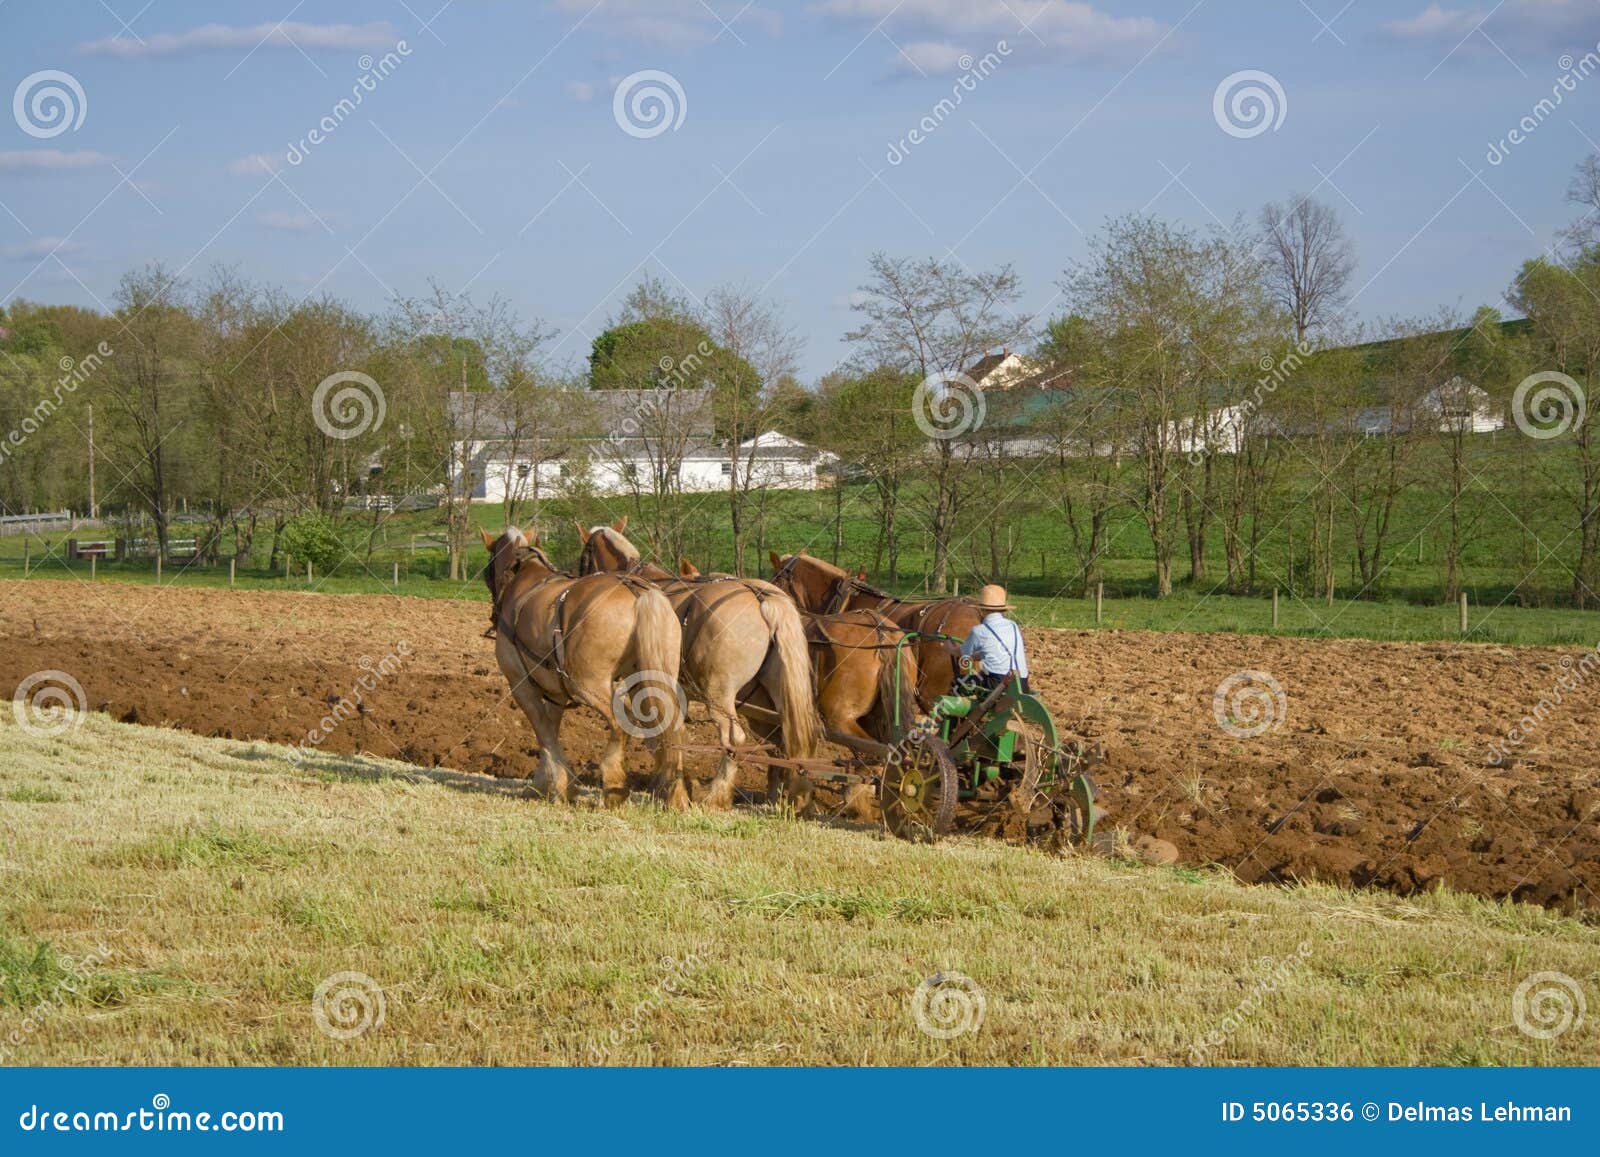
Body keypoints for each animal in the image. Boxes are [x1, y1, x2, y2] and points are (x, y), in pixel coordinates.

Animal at [482, 527, 687, 809]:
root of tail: (640, 595)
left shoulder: (520, 685)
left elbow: (543, 732)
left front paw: (555, 785)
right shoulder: (555, 692)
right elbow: (551, 730)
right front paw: (550, 783)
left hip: (586, 683)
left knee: (620, 720)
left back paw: (614, 786)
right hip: (652, 678)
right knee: (670, 726)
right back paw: (674, 794)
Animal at [576, 522, 820, 808]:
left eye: (584, 557)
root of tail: (761, 598)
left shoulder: (642, 687)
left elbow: (659, 735)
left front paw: (669, 783)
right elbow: (673, 733)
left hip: (719, 693)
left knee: (734, 738)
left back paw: (718, 795)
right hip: (774, 693)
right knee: (792, 737)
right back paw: (791, 796)